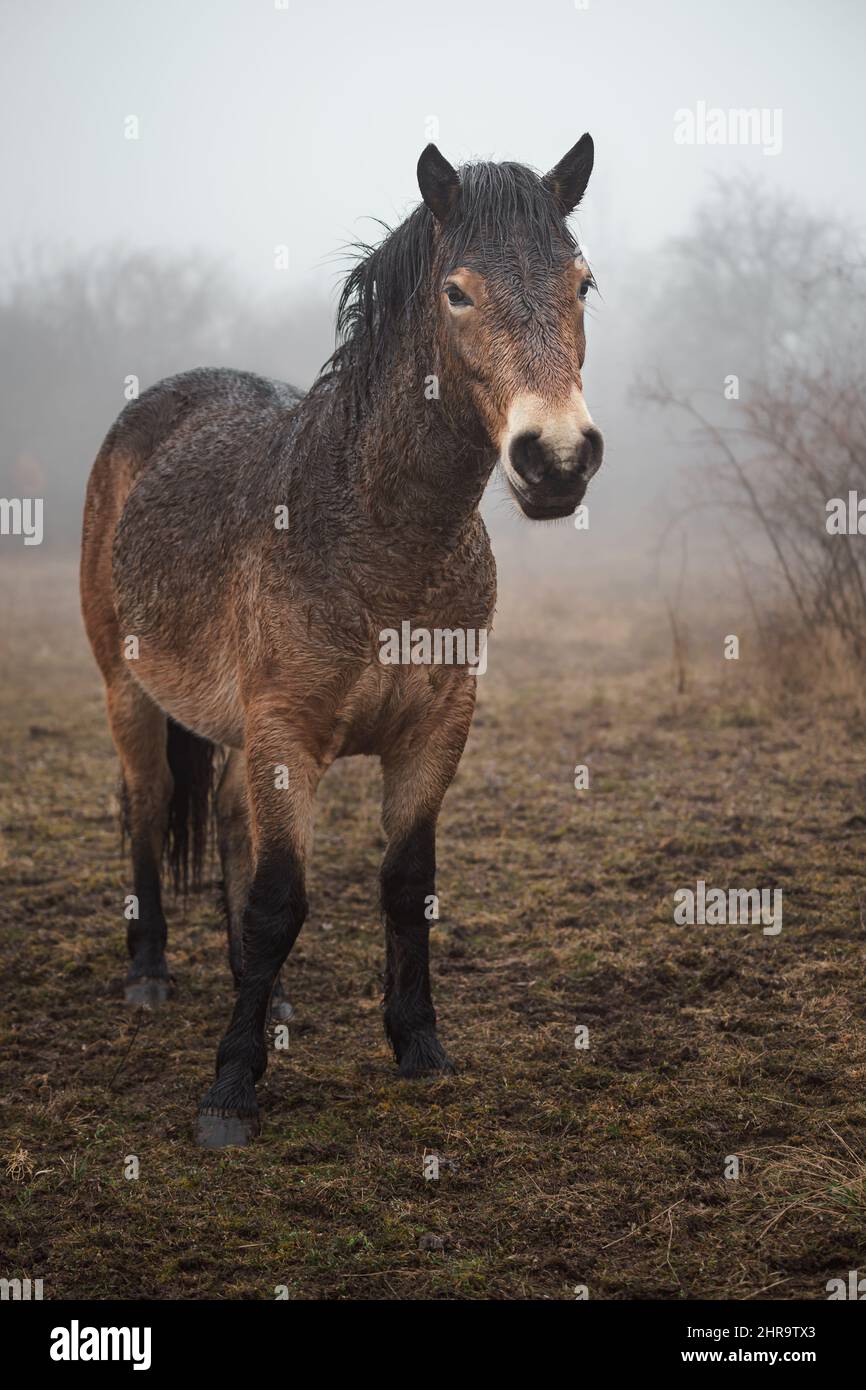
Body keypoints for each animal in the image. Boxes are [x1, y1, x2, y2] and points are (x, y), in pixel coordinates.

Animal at [79, 136, 604, 1147]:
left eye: (583, 284)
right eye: (458, 293)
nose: (557, 458)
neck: (378, 536)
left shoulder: (437, 729)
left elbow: (405, 882)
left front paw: (419, 1047)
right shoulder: (288, 731)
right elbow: (284, 897)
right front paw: (230, 1092)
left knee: (230, 824)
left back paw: (264, 994)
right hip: (130, 692)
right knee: (148, 806)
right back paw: (150, 974)